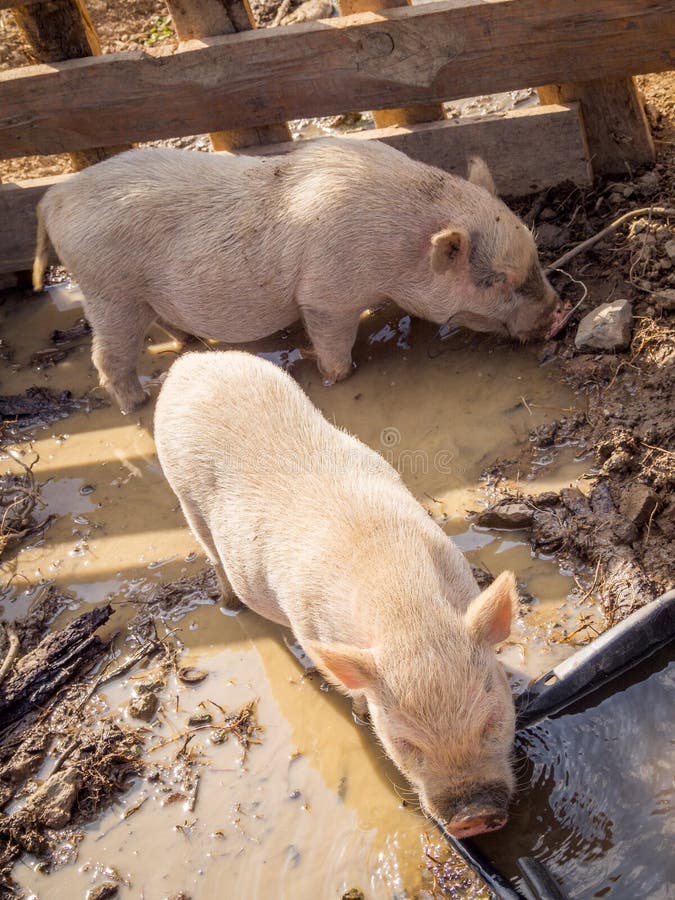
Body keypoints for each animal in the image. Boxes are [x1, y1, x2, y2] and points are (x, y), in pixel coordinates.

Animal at [33, 138, 563, 414]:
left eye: (535, 251)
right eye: (496, 280)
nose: (560, 313)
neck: (399, 249)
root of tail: (55, 197)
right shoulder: (327, 295)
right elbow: (332, 343)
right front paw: (331, 376)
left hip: (140, 295)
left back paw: (192, 345)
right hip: (109, 291)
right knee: (107, 357)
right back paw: (138, 404)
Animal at [154, 350, 518, 837]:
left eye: (492, 721)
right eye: (405, 744)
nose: (473, 818)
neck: (404, 608)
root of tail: (189, 362)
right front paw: (362, 713)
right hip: (184, 498)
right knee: (212, 554)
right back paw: (229, 605)